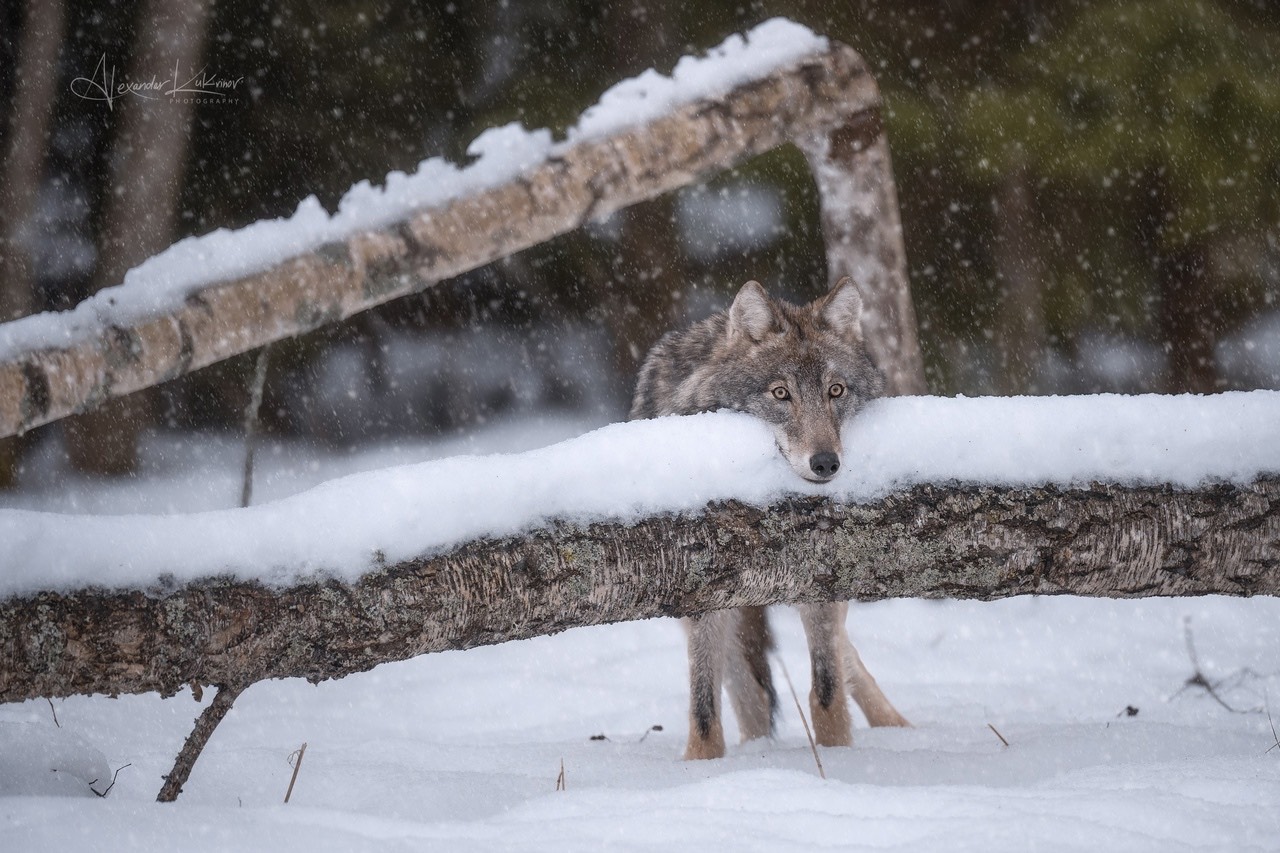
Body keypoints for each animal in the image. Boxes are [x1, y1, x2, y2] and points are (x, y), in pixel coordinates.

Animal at [629, 277, 911, 758]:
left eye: (836, 391)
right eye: (781, 393)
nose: (826, 463)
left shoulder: (822, 584)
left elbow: (827, 692)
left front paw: (838, 757)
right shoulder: (702, 597)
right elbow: (703, 709)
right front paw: (702, 765)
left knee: (846, 659)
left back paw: (899, 728)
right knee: (751, 695)